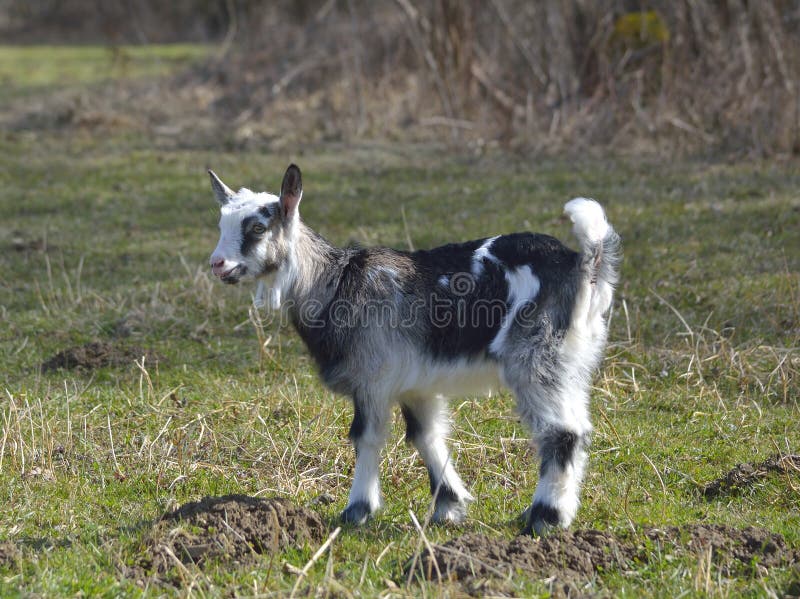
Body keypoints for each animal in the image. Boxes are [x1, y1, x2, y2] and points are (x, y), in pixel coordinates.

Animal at [207, 164, 621, 535]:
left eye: (257, 228)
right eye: (222, 225)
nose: (217, 264)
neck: (334, 282)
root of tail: (584, 265)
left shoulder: (373, 378)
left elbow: (367, 436)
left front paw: (356, 511)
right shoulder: (415, 384)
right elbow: (425, 435)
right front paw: (449, 507)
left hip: (535, 358)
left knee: (561, 433)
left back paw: (543, 518)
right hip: (569, 364)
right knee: (578, 428)